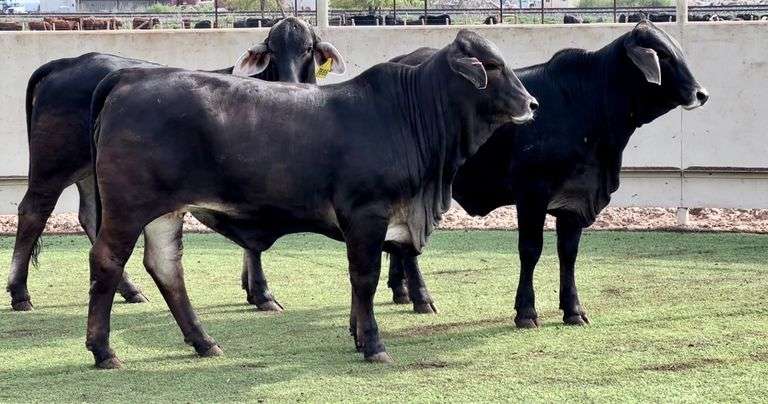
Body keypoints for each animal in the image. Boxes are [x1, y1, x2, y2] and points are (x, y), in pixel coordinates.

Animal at [6, 17, 344, 312]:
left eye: (309, 48)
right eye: (272, 50)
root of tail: (65, 63)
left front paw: (251, 289)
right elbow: (253, 242)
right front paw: (262, 293)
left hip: (91, 173)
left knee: (89, 217)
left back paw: (130, 290)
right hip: (52, 165)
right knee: (33, 212)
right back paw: (20, 293)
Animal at [85, 30, 538, 368]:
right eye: (492, 66)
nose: (532, 103)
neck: (409, 116)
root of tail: (128, 78)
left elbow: (359, 280)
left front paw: (358, 336)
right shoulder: (365, 215)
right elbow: (365, 278)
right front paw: (373, 344)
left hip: (165, 211)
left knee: (166, 267)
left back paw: (203, 341)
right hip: (128, 207)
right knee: (108, 261)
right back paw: (104, 350)